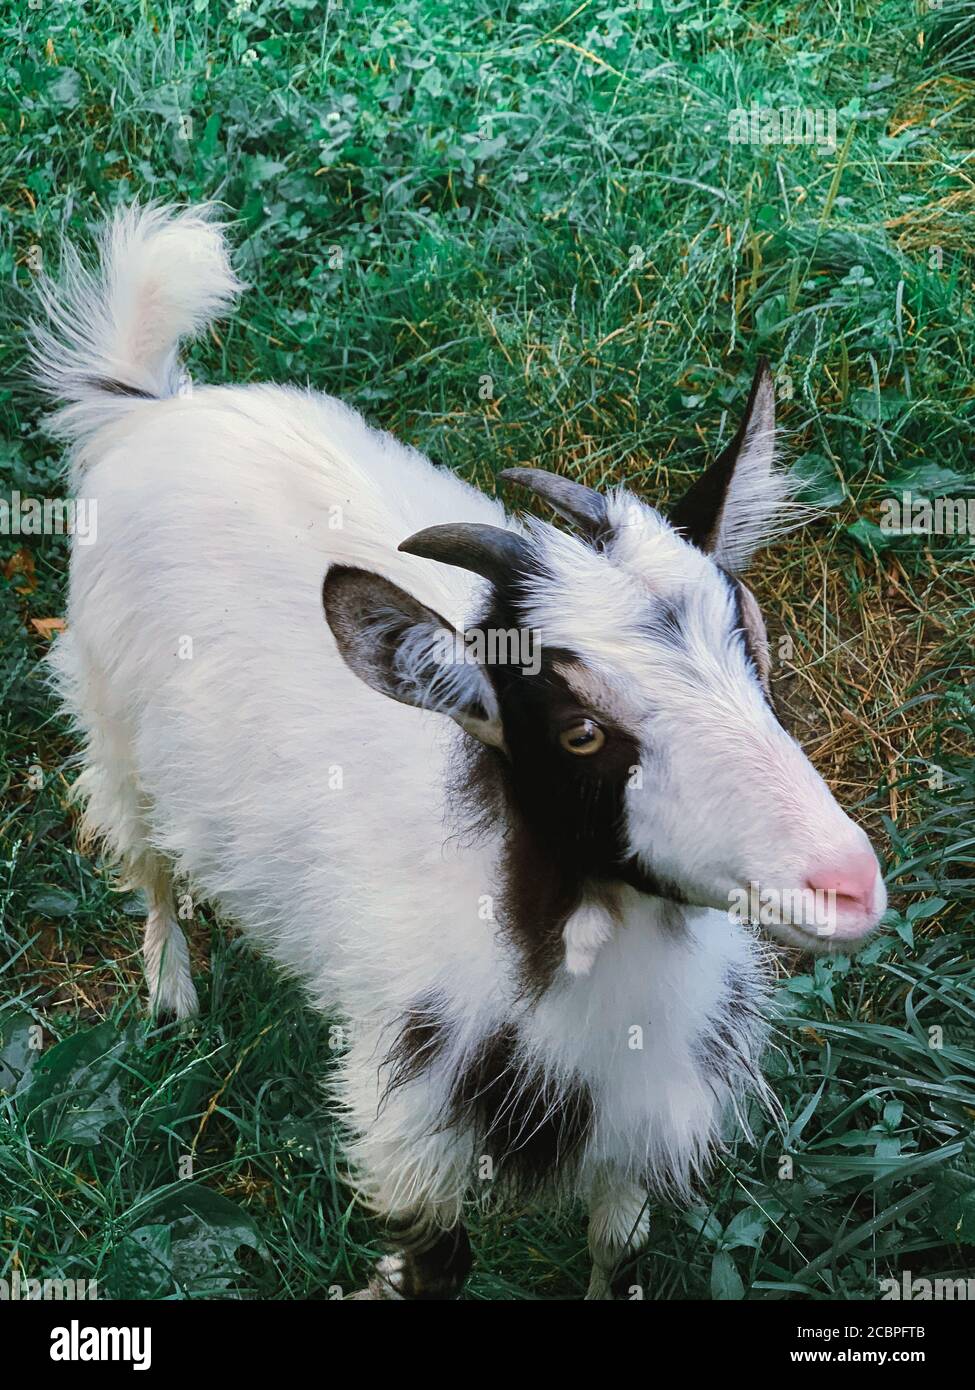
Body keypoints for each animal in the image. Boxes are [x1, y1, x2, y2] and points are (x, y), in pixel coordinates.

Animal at [32, 204, 886, 1300]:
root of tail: (154, 410)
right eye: (577, 731)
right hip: (111, 719)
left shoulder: (639, 1132)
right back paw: (171, 998)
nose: (845, 883)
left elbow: (618, 1249)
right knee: (146, 861)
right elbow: (436, 1265)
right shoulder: (406, 1122)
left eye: (758, 650)